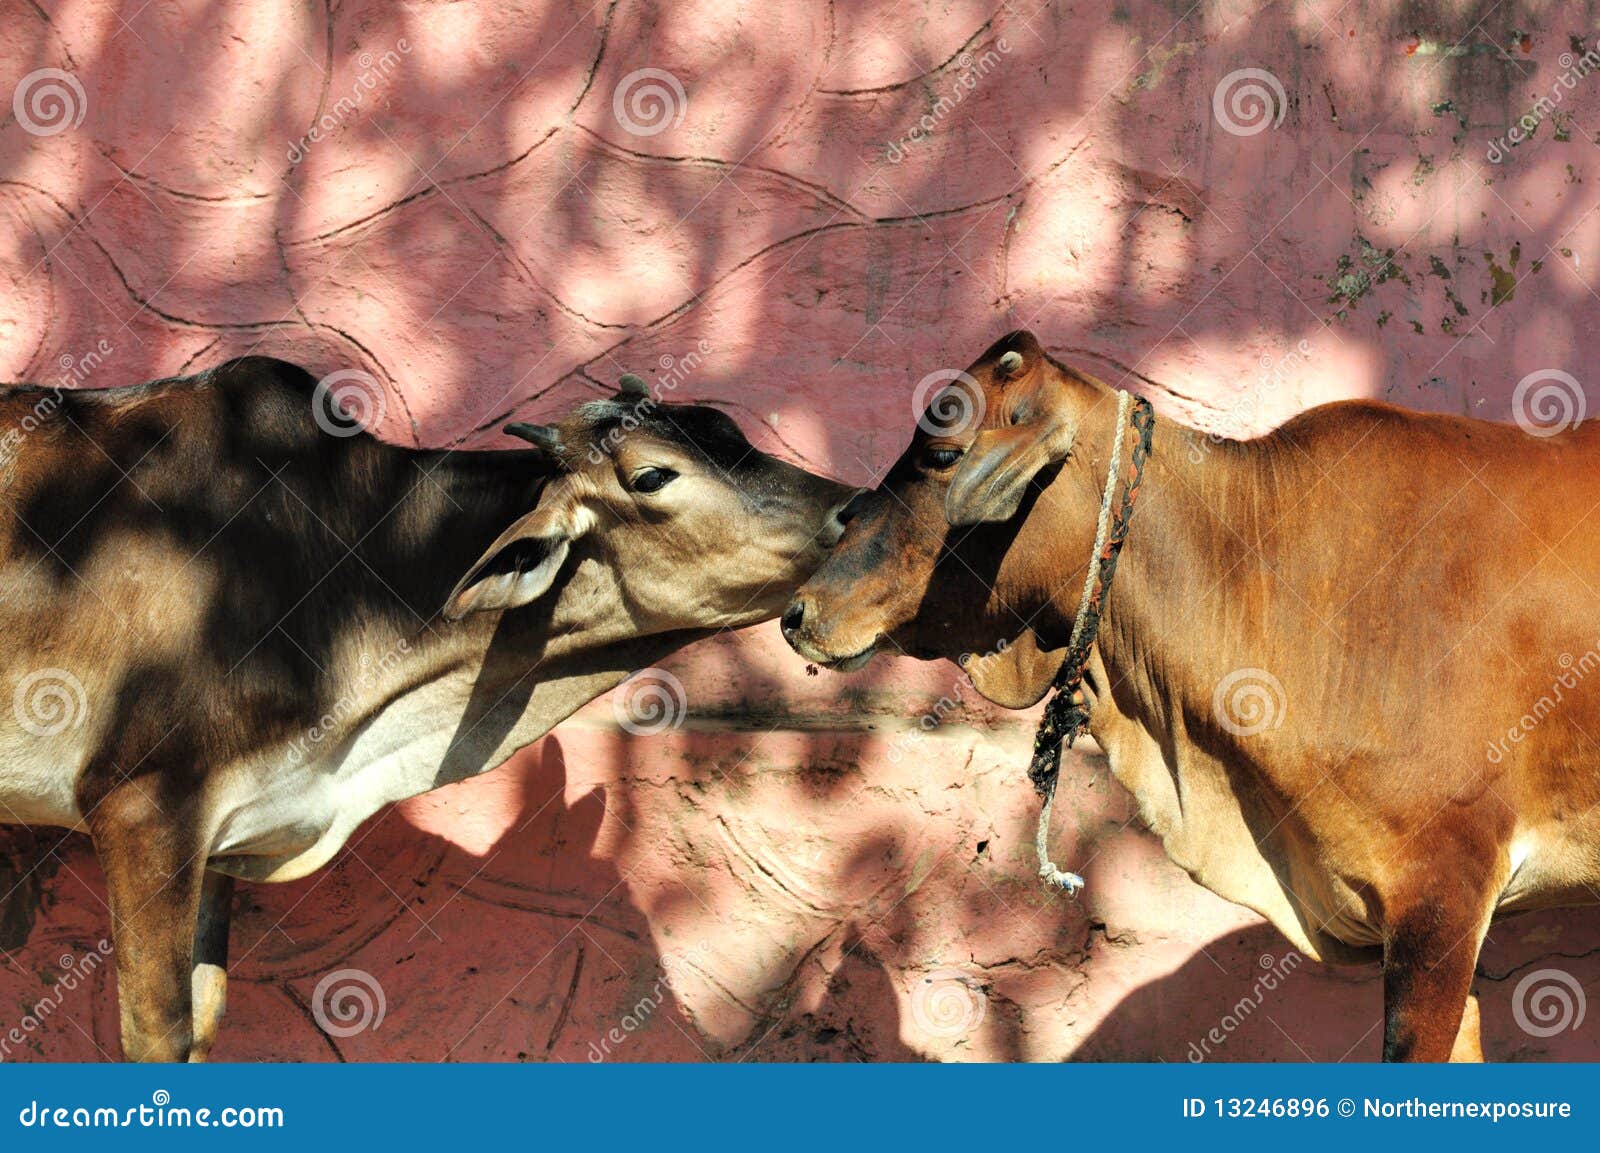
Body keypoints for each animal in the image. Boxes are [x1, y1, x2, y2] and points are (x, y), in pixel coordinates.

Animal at [0, 356, 855, 1062]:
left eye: (730, 429)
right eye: (651, 475)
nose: (858, 508)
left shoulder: (222, 838)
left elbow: (202, 1025)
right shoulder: (142, 804)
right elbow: (157, 1033)